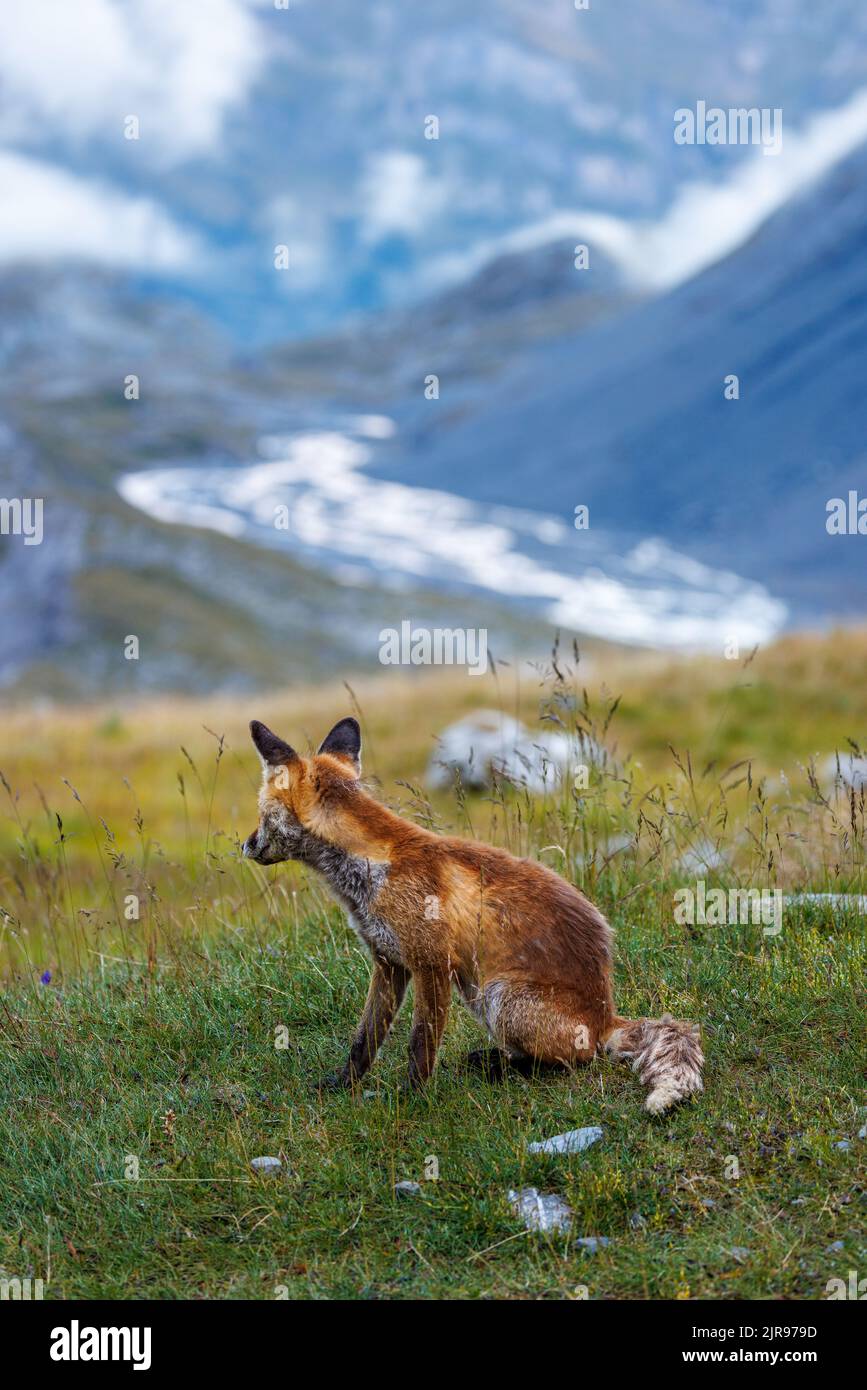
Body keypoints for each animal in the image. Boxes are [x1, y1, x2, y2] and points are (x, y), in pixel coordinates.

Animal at [243, 716, 704, 1113]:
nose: (245, 845)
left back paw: (502, 1067)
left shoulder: (432, 965)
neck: (372, 869)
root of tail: (604, 1016)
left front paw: (413, 1098)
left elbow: (420, 1045)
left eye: (261, 814)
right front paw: (342, 1085)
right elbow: (364, 1040)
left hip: (497, 995)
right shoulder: (388, 963)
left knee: (578, 1059)